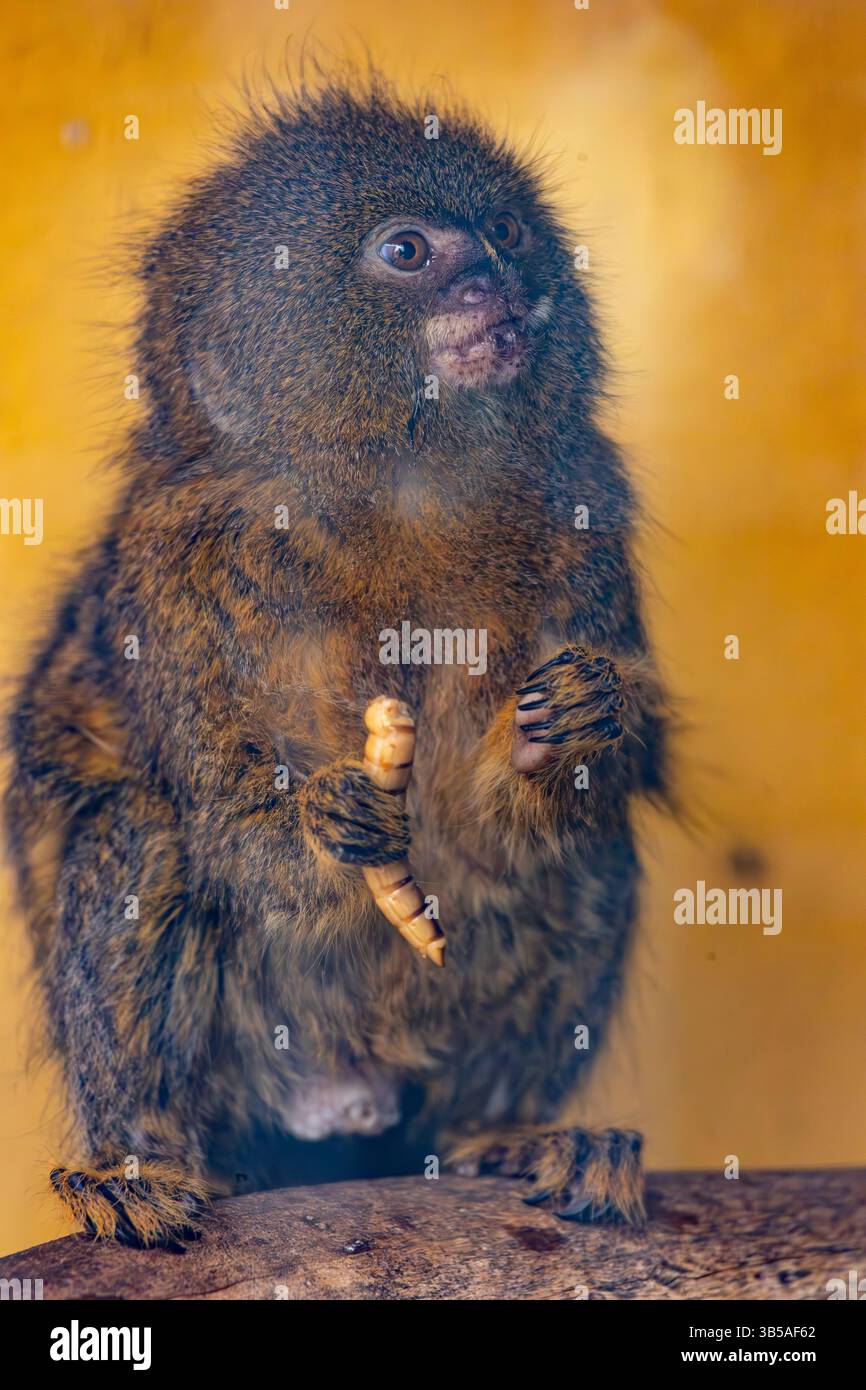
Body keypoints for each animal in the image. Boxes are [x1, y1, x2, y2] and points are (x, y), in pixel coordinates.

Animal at [5, 71, 669, 1248]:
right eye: (407, 251)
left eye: (506, 231)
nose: (501, 284)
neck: (401, 483)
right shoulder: (176, 571)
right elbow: (227, 822)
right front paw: (330, 821)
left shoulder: (585, 505)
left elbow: (553, 793)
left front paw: (586, 722)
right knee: (136, 829)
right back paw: (139, 1158)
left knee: (591, 851)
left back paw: (502, 1131)